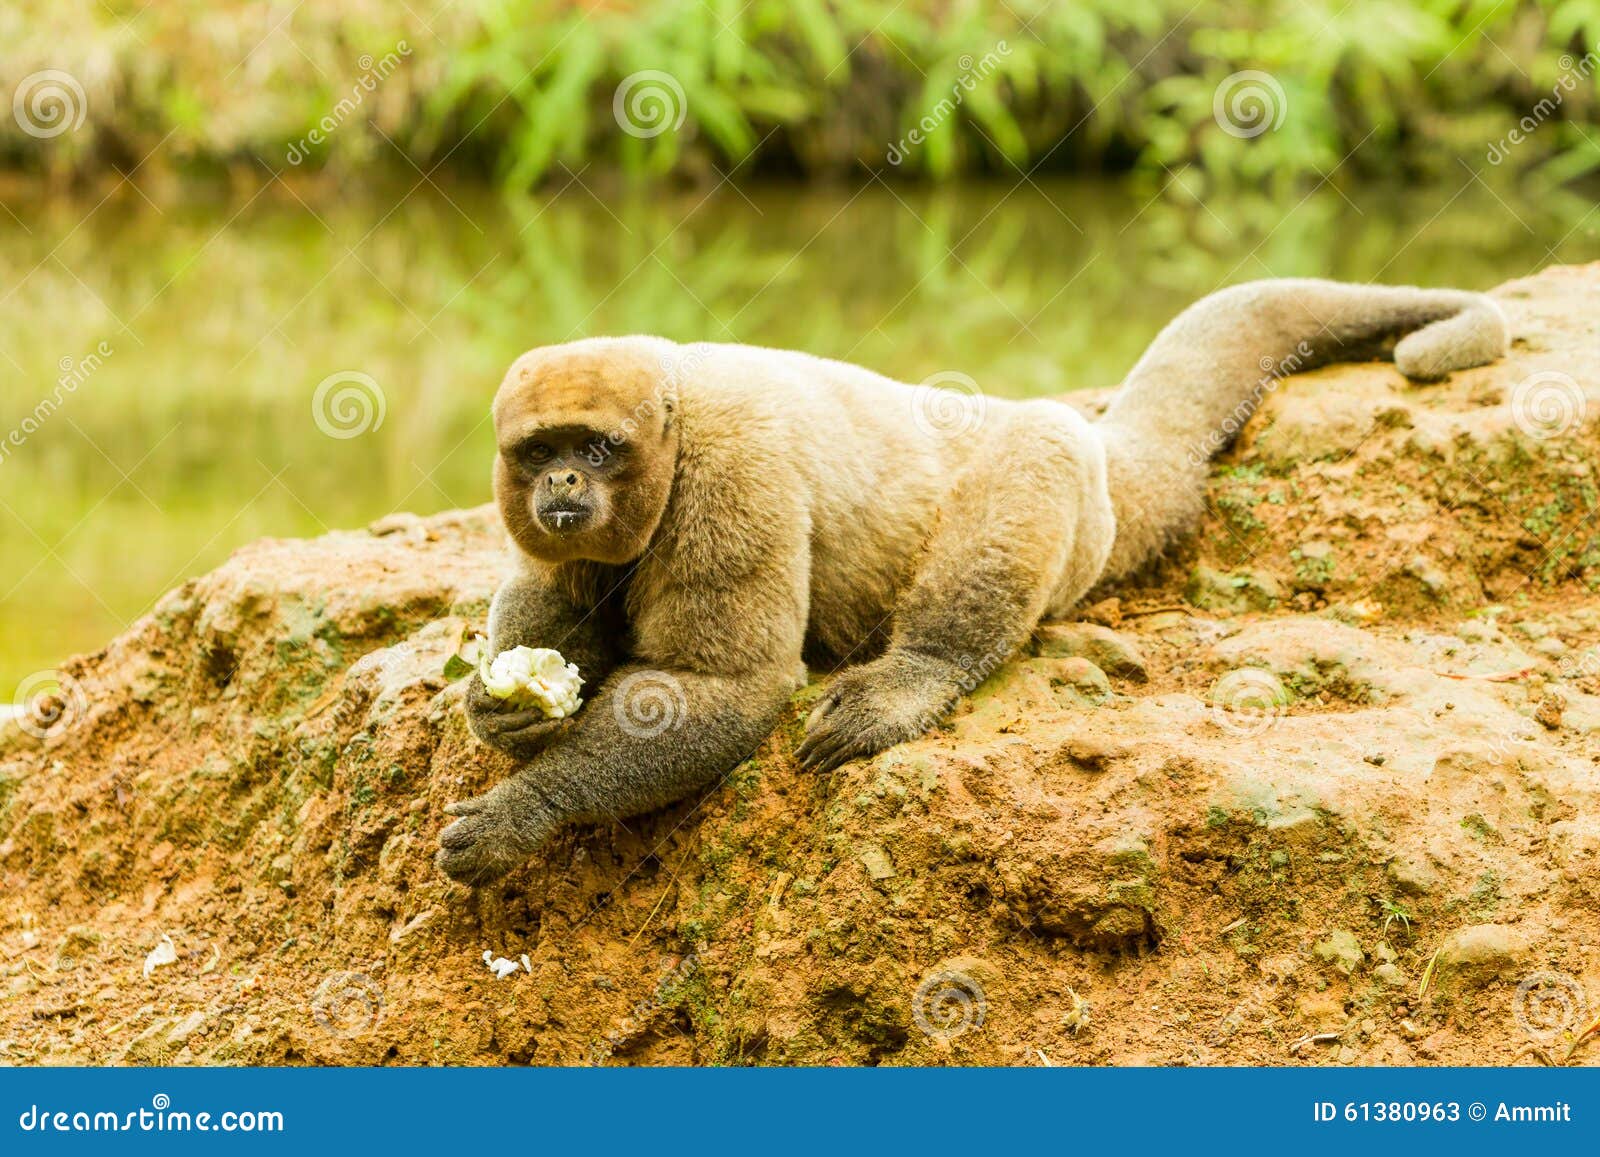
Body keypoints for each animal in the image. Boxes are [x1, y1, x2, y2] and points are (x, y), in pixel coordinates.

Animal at [438, 279, 1508, 883]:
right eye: (539, 452)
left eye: (596, 447)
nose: (563, 483)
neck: (673, 419)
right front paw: (503, 708)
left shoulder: (731, 473)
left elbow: (722, 687)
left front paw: (524, 811)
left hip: (1074, 512)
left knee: (1035, 447)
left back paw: (915, 674)